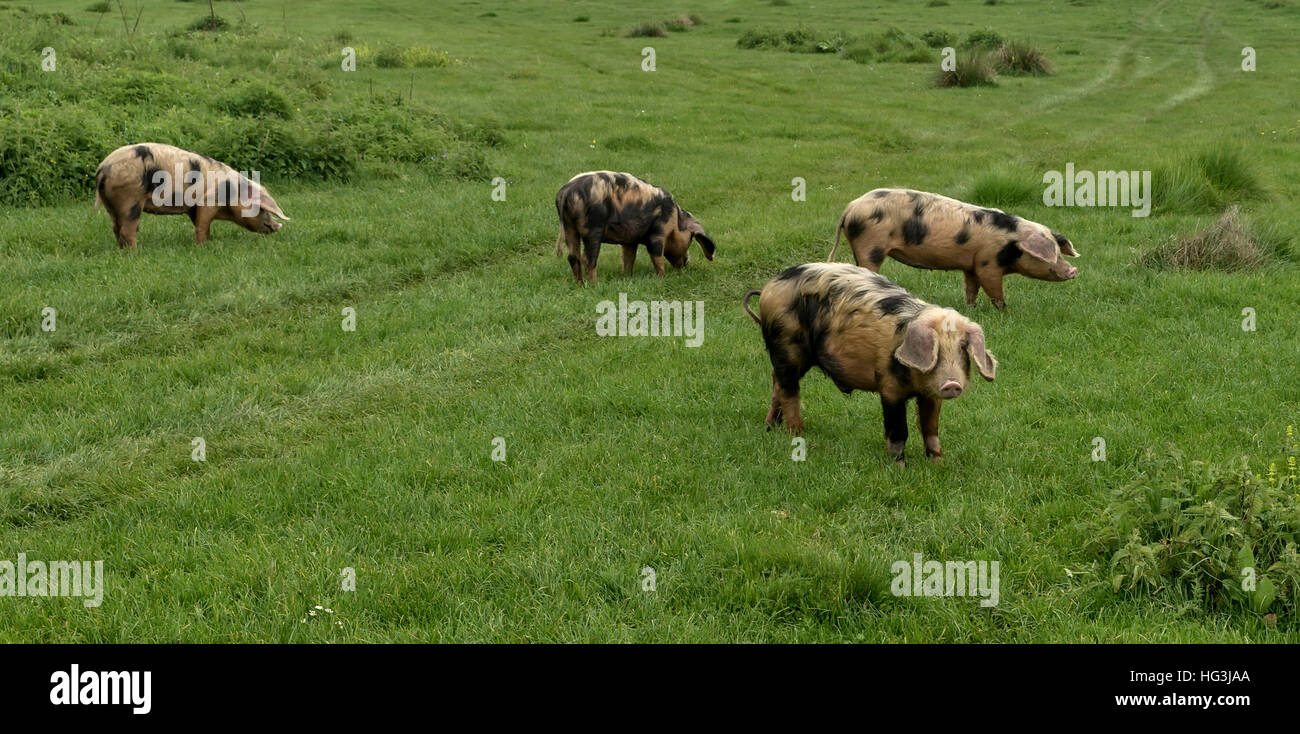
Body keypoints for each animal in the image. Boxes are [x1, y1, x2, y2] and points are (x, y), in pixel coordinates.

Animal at [93, 143, 289, 249]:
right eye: (262, 209)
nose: (278, 226)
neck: (231, 193)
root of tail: (103, 168)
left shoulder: (193, 208)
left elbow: (201, 224)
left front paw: (209, 242)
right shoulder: (207, 202)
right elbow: (203, 225)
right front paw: (202, 246)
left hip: (111, 203)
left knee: (116, 228)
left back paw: (123, 251)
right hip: (130, 199)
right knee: (128, 229)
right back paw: (135, 252)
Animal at [554, 170, 715, 285]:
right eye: (689, 240)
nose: (687, 262)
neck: (675, 219)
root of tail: (567, 191)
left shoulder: (630, 240)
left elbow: (629, 257)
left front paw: (626, 276)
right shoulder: (658, 232)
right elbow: (657, 257)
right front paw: (662, 278)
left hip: (569, 226)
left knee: (573, 257)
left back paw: (580, 285)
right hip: (593, 226)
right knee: (588, 259)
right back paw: (595, 285)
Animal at [742, 262, 997, 464]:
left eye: (963, 347)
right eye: (936, 349)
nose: (952, 384)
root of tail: (769, 287)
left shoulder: (930, 394)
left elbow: (931, 429)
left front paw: (938, 464)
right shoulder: (889, 387)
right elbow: (898, 431)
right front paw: (898, 467)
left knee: (776, 382)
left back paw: (771, 427)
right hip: (786, 347)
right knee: (789, 389)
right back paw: (798, 434)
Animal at [825, 189, 1079, 309]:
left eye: (1059, 251)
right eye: (1052, 254)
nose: (1073, 270)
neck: (1011, 242)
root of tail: (850, 208)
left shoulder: (972, 266)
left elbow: (971, 289)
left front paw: (972, 308)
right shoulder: (988, 263)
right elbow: (995, 291)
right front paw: (1005, 312)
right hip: (871, 245)